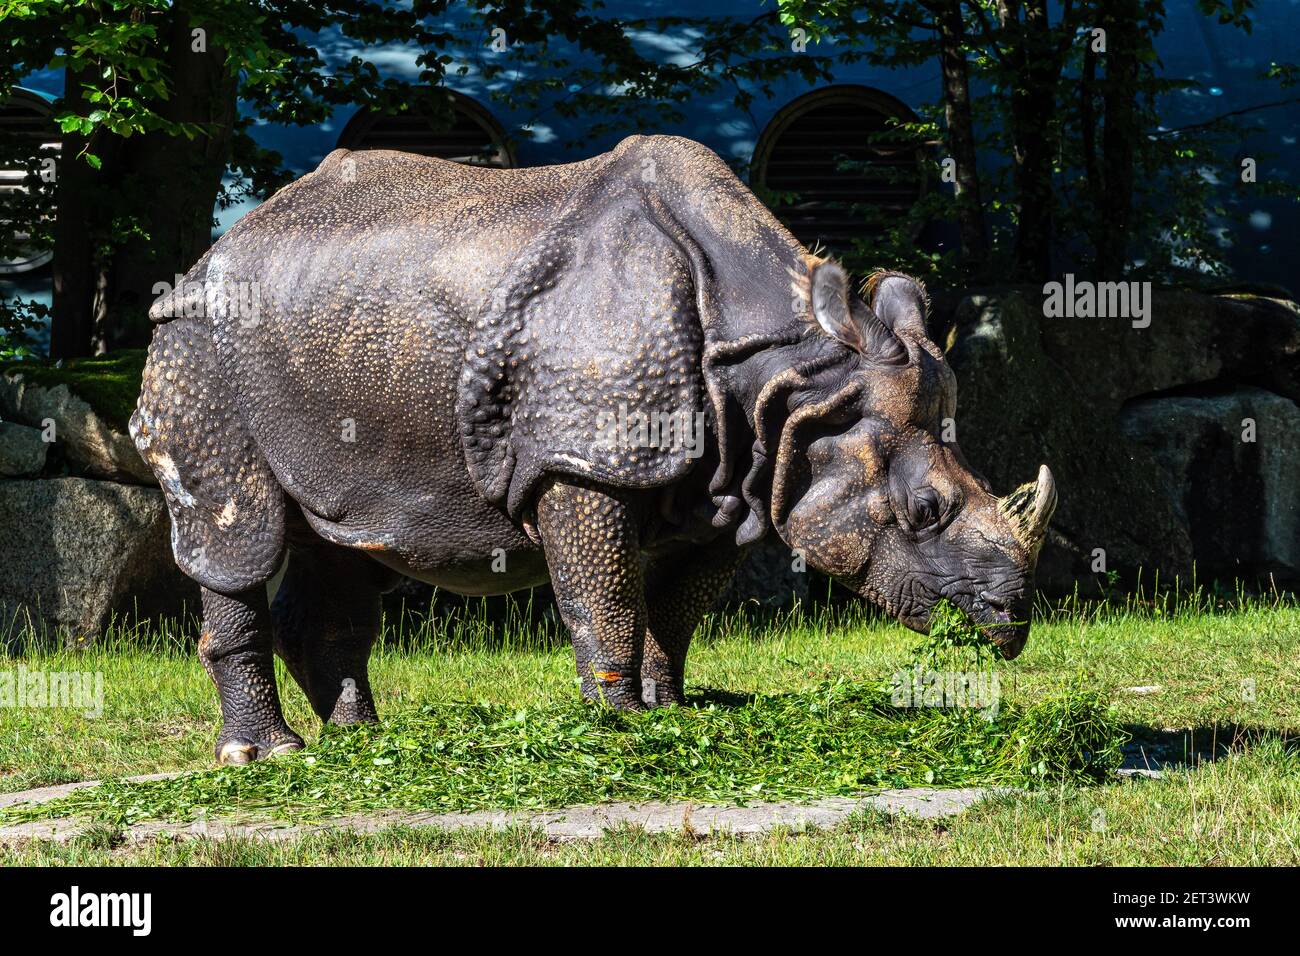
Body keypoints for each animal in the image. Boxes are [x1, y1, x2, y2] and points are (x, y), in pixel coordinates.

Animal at [132, 134, 1056, 765]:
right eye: (925, 511)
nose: (1012, 624)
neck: (792, 381)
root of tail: (218, 248)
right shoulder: (585, 461)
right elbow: (601, 596)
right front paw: (618, 728)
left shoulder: (736, 480)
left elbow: (674, 609)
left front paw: (671, 715)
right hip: (199, 343)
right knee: (239, 533)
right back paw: (266, 756)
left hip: (333, 342)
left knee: (346, 541)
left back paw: (364, 746)